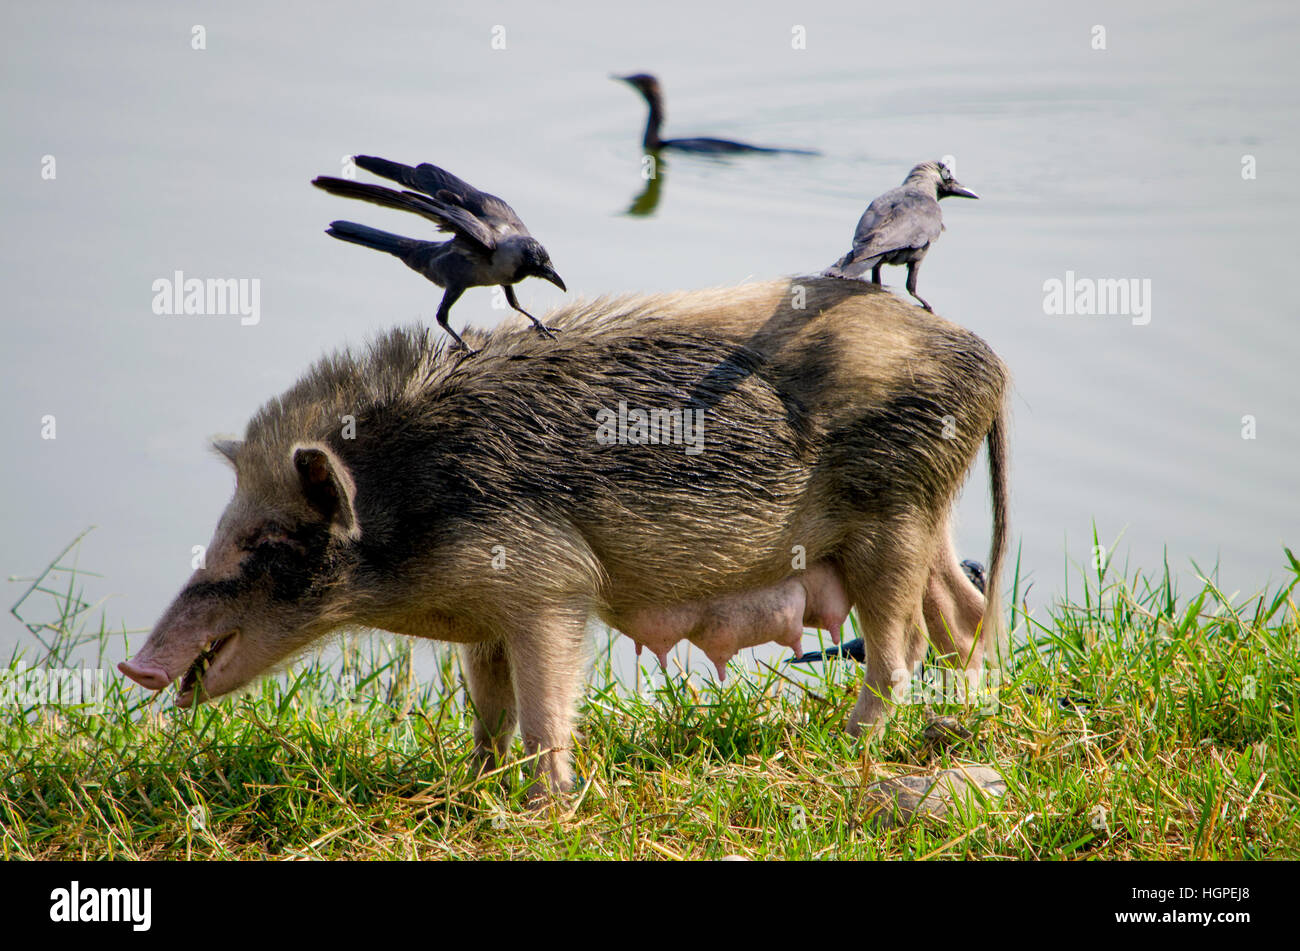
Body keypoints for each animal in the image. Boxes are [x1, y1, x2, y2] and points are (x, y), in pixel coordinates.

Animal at [120, 276, 1008, 803]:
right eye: (223, 528)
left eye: (269, 541)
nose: (136, 665)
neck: (410, 499)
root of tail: (987, 359)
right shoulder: (485, 613)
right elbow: (489, 710)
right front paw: (475, 785)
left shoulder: (547, 582)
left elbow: (547, 711)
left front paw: (544, 807)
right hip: (926, 518)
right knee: (961, 611)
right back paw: (967, 713)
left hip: (892, 519)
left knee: (901, 648)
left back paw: (838, 745)